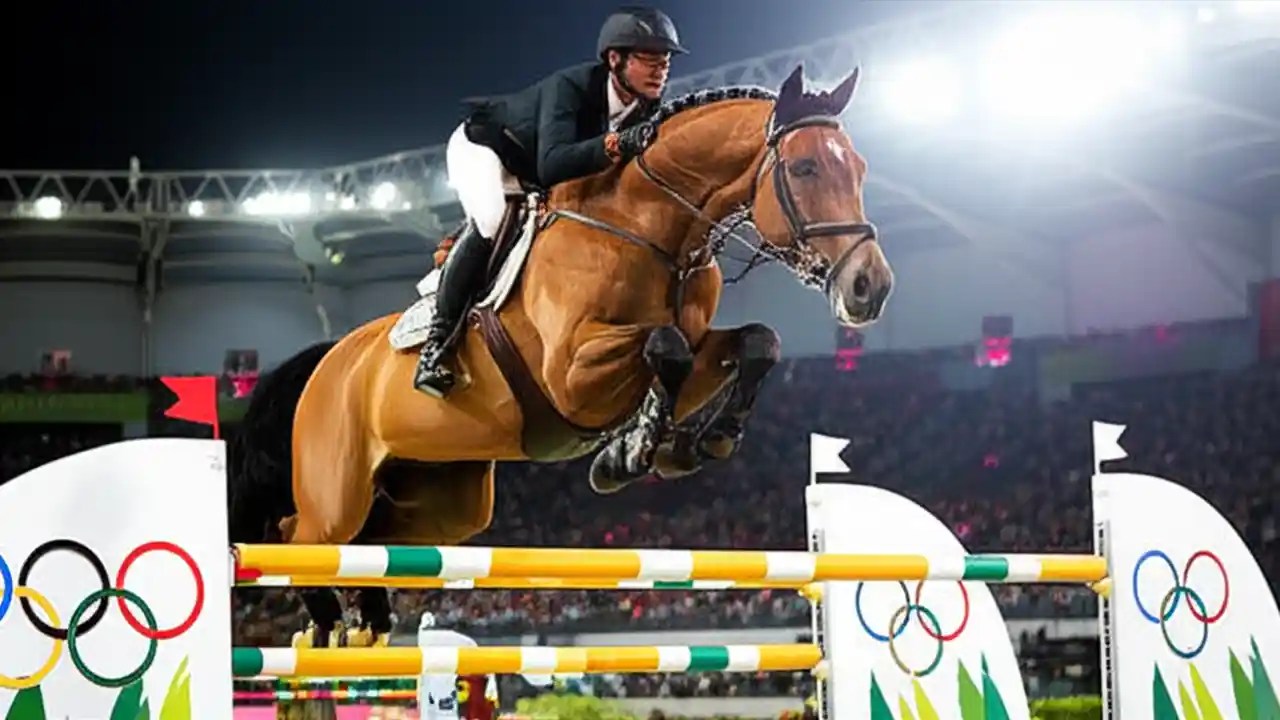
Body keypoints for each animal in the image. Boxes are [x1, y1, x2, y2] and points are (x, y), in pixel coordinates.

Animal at [227, 63, 894, 647]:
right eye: (804, 167)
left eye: (861, 167)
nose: (871, 287)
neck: (649, 227)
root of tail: (323, 359)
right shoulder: (571, 375)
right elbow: (666, 348)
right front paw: (633, 453)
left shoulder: (692, 346)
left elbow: (755, 341)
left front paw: (693, 442)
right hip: (335, 492)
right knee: (297, 536)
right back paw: (323, 620)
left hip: (444, 501)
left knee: (370, 543)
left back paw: (368, 615)